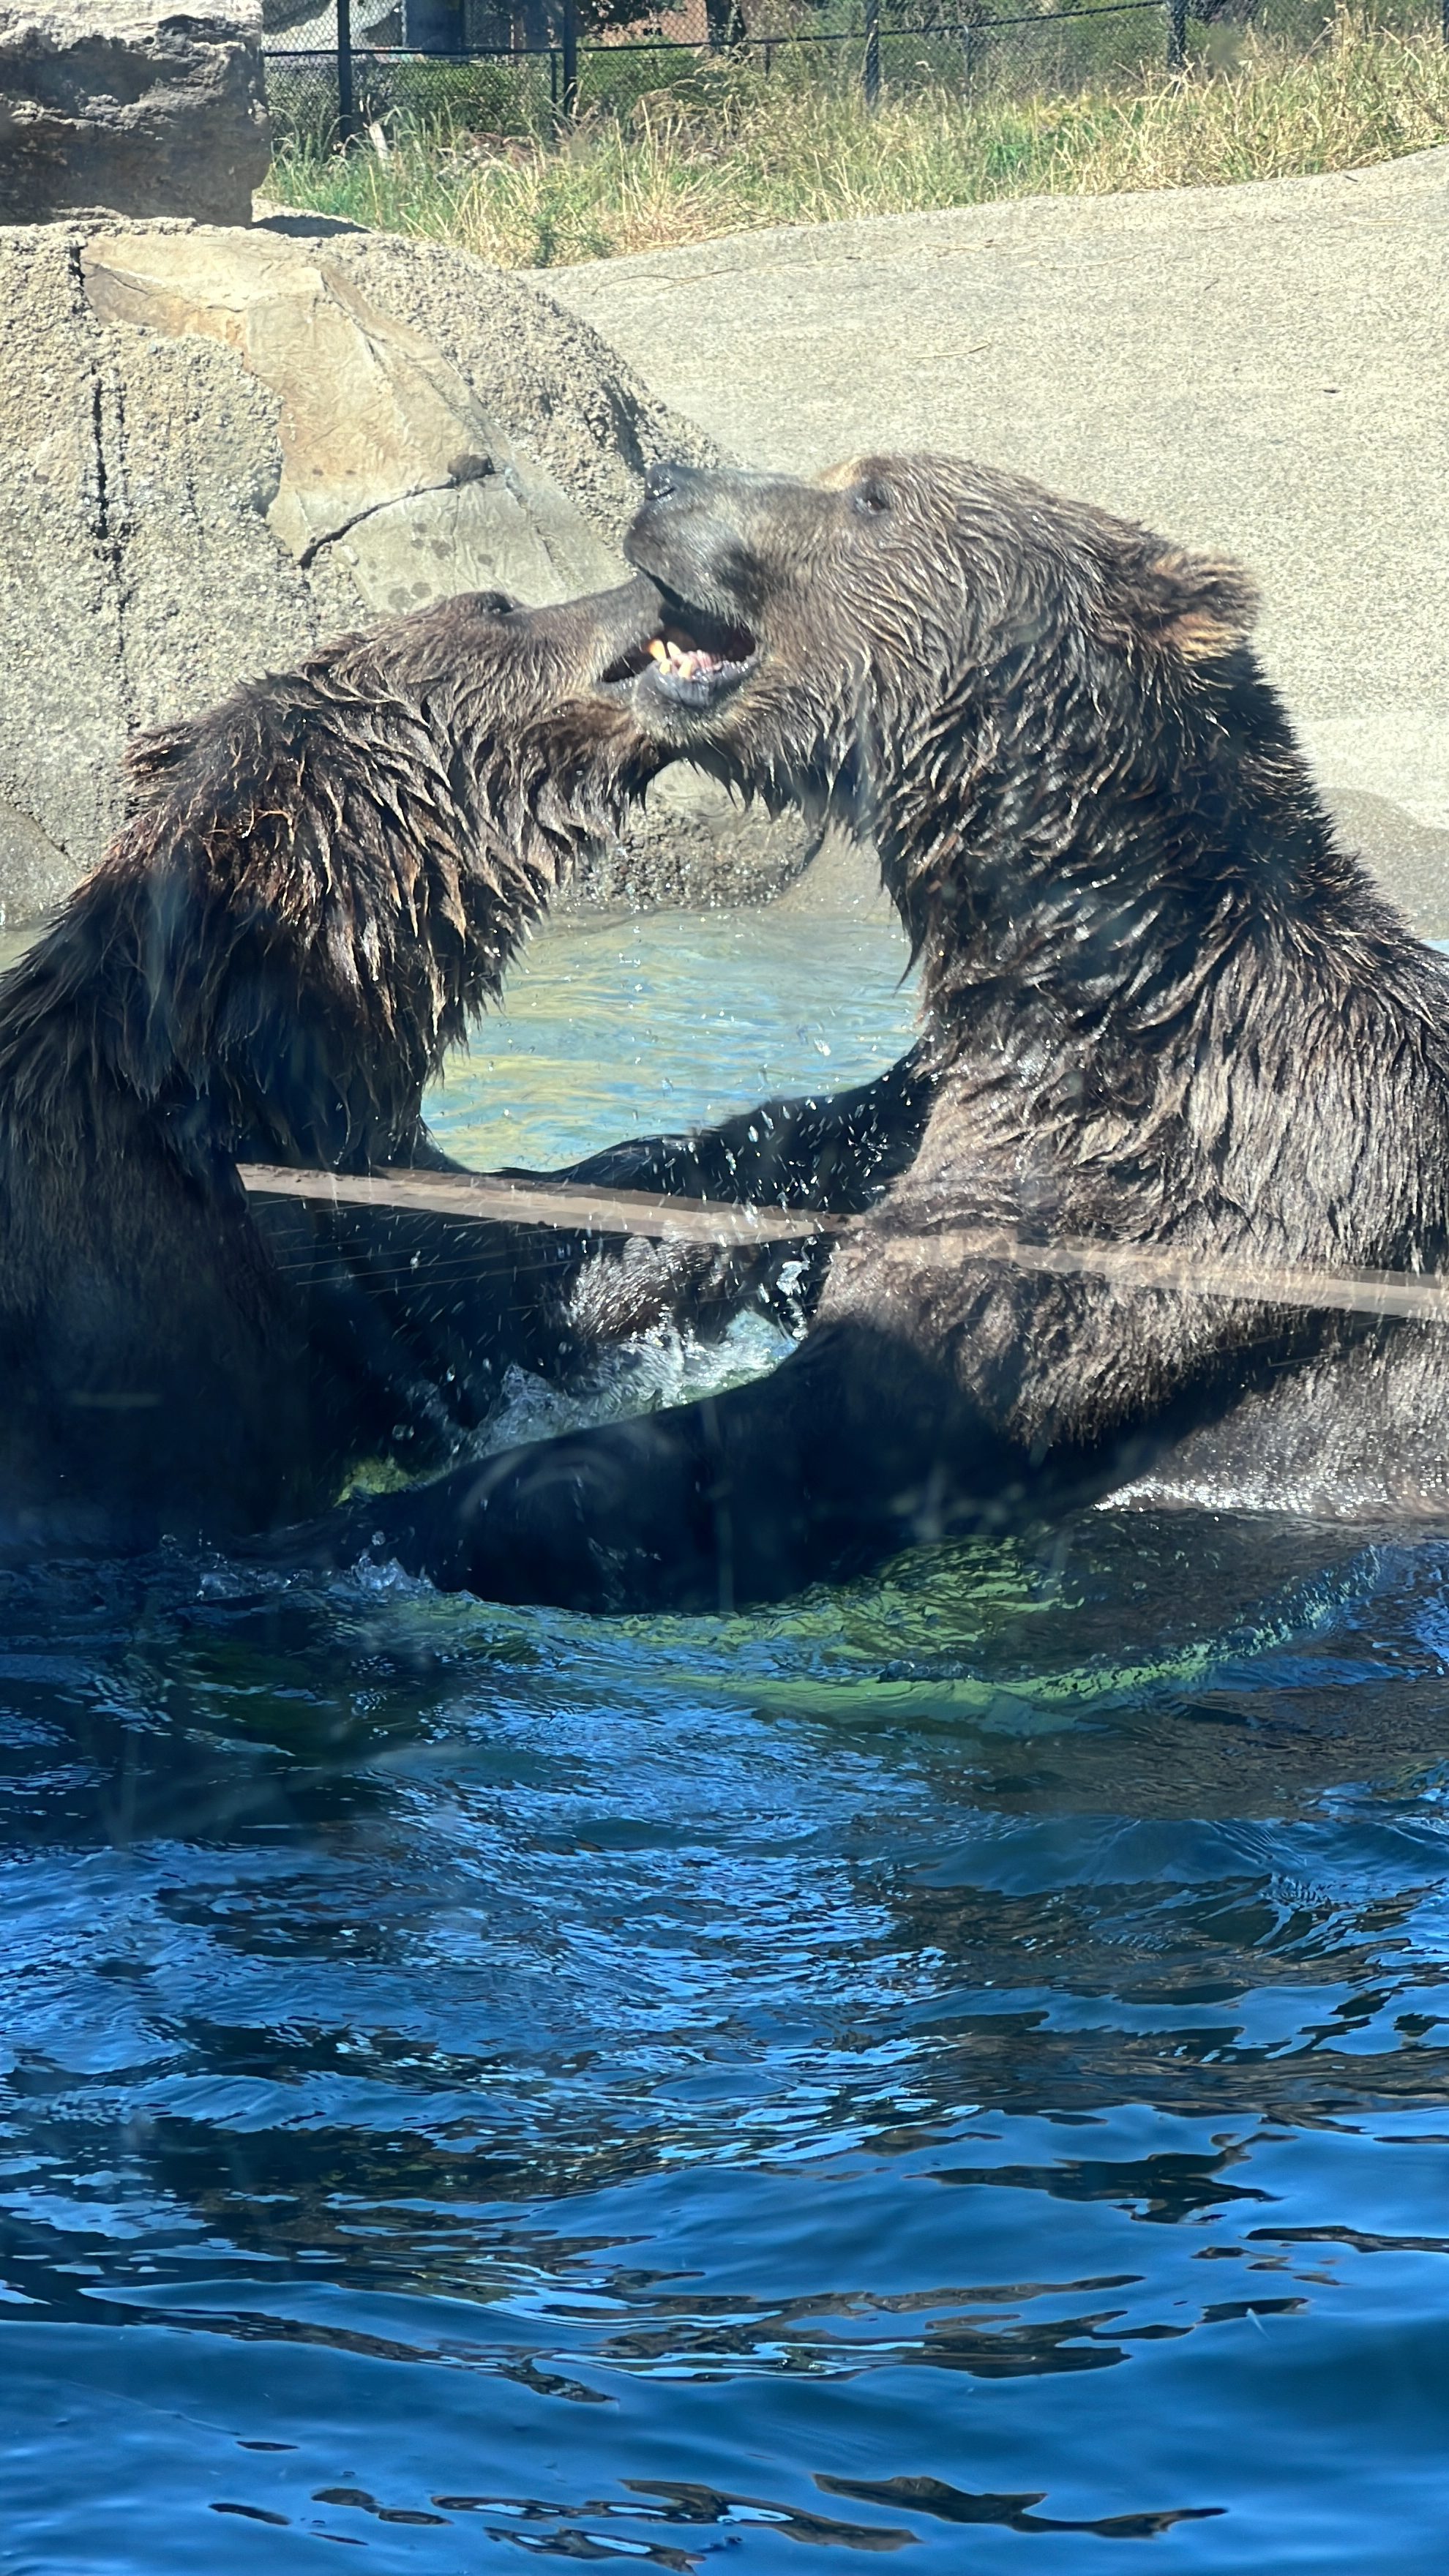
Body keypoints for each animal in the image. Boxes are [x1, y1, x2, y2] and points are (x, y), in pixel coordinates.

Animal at [288, 453, 1449, 1614]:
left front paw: (358, 1531)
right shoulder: (937, 1106)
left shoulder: (1153, 1208)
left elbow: (813, 1431)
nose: (666, 480)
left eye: (872, 493)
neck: (1096, 993)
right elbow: (749, 1174)